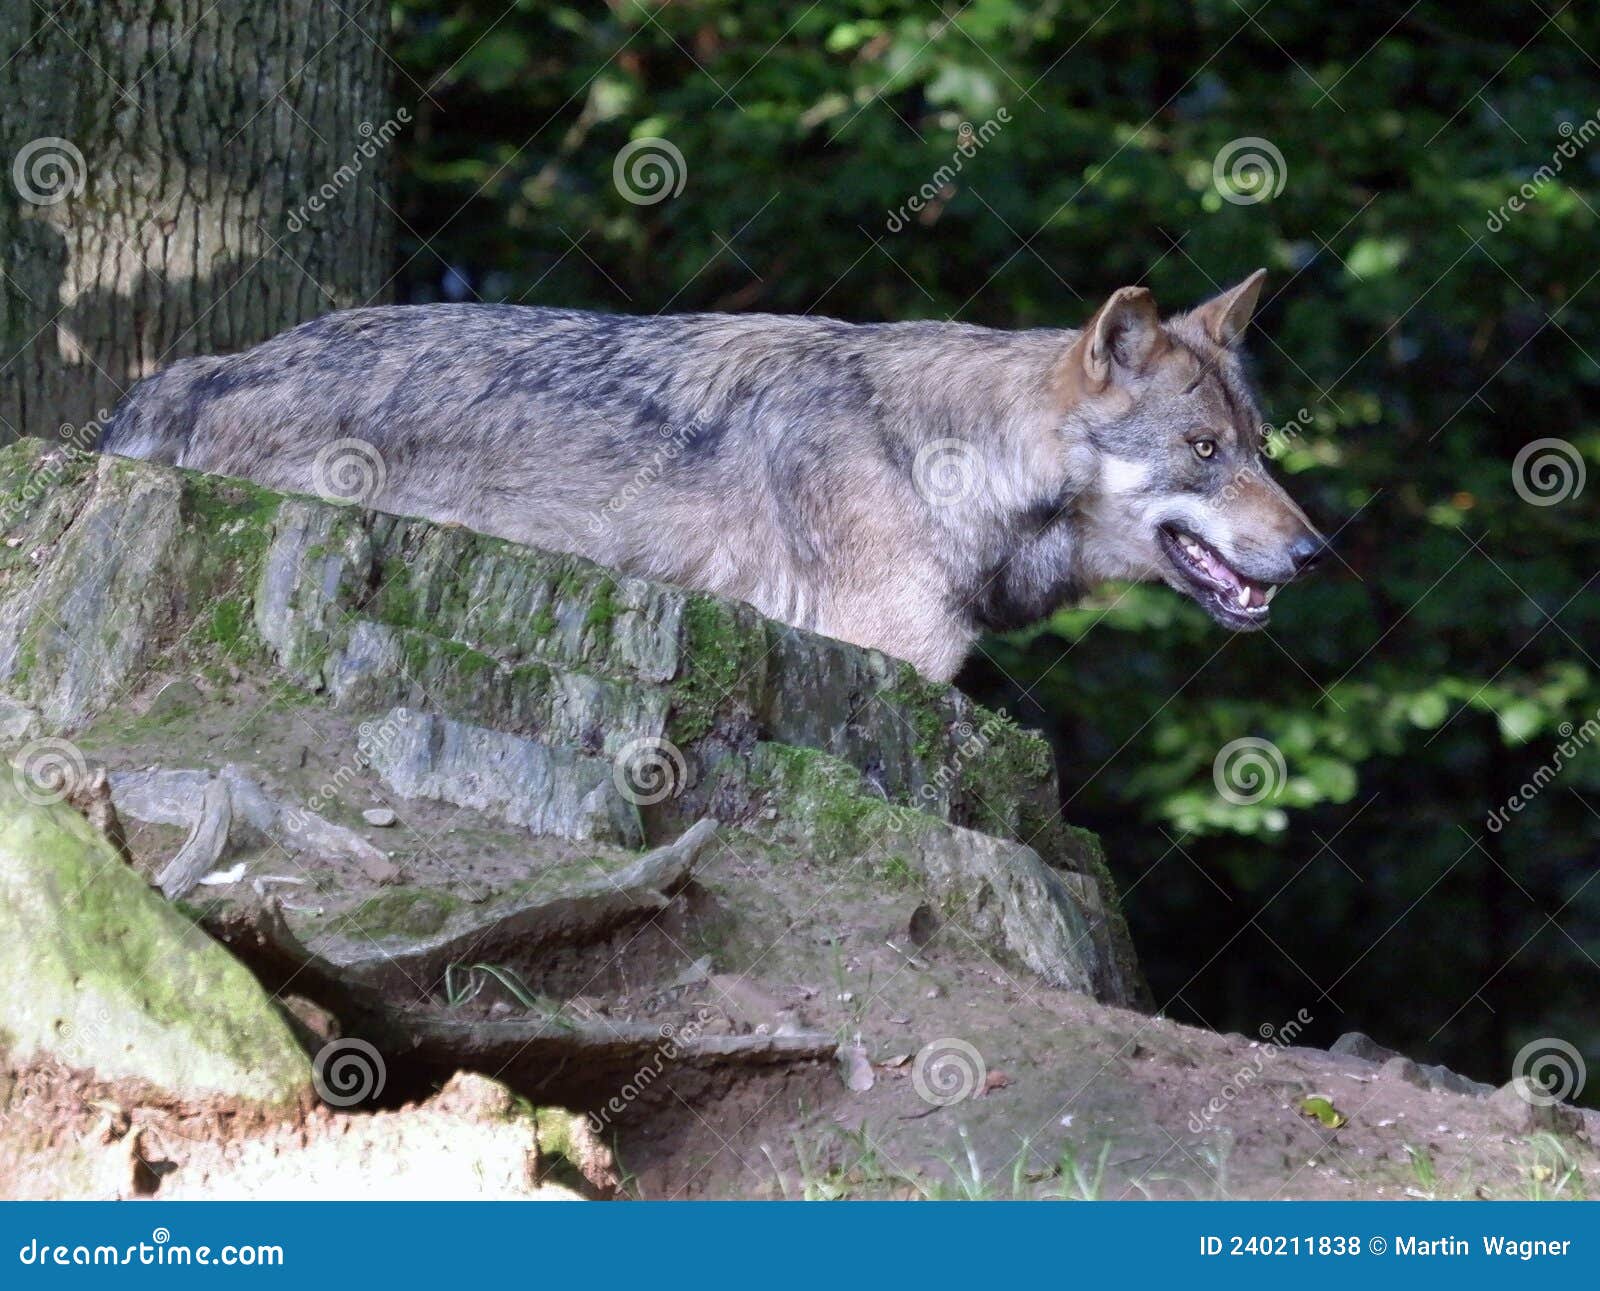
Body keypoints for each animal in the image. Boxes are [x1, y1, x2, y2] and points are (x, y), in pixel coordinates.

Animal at [101, 272, 1323, 682]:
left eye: (1259, 444)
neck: (937, 454)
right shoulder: (895, 662)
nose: (1316, 552)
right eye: (1203, 451)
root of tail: (208, 367)